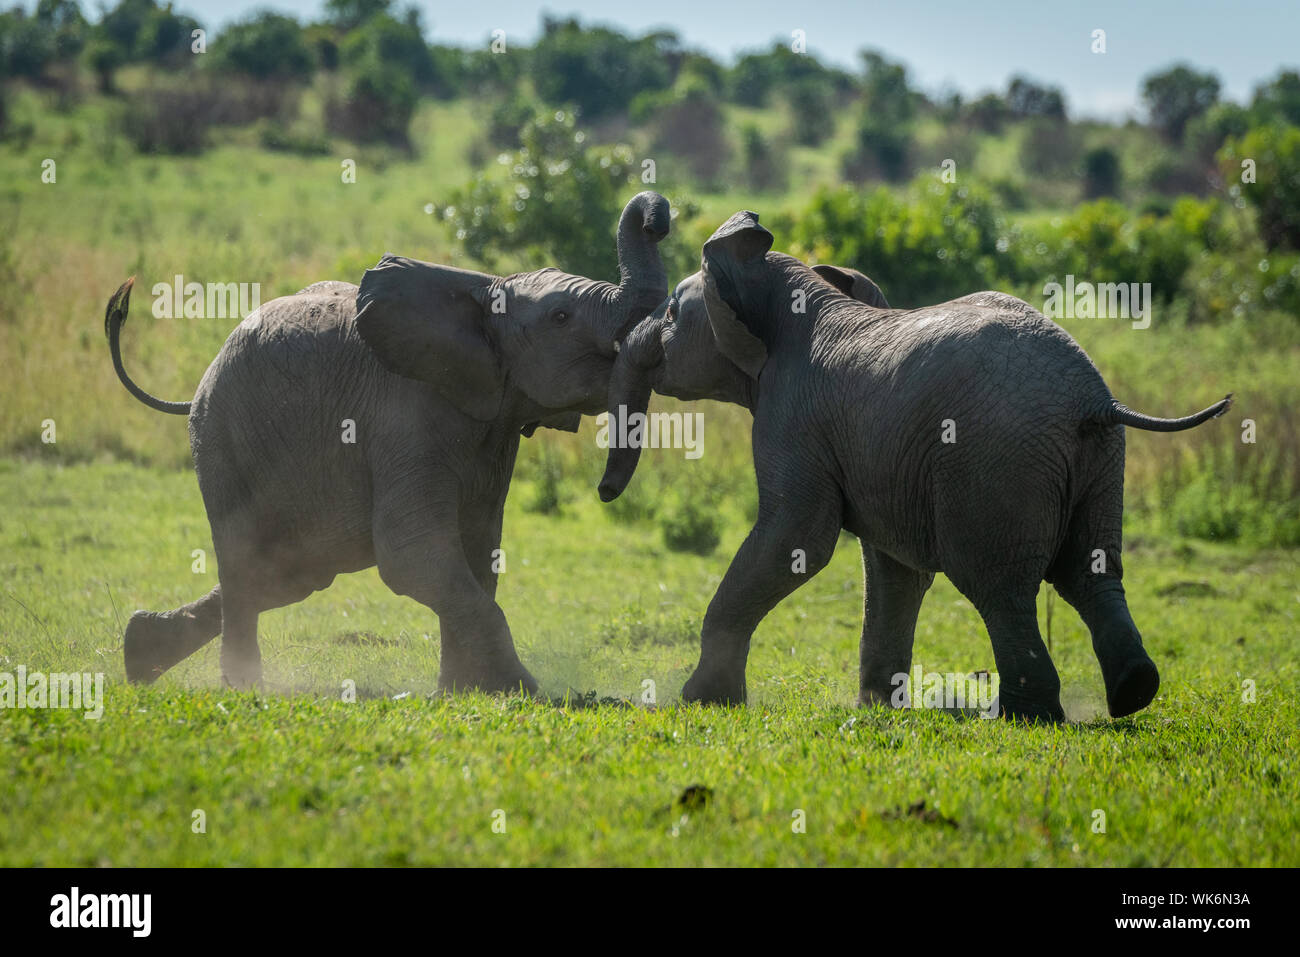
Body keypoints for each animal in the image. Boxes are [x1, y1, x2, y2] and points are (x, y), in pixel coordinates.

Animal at [108, 190, 671, 693]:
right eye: (560, 317)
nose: (659, 218)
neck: (482, 293)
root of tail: (196, 389)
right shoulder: (406, 415)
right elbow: (414, 554)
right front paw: (527, 692)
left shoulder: (493, 428)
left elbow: (476, 550)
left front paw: (461, 692)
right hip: (222, 439)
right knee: (249, 561)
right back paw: (241, 686)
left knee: (291, 573)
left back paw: (140, 653)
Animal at [598, 210, 1231, 722]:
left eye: (673, 312)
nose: (606, 493)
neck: (799, 293)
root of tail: (1093, 399)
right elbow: (893, 569)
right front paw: (879, 706)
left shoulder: (792, 414)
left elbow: (798, 539)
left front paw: (702, 700)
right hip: (1100, 460)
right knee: (1091, 571)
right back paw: (1132, 693)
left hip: (994, 459)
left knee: (998, 584)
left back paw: (1024, 715)